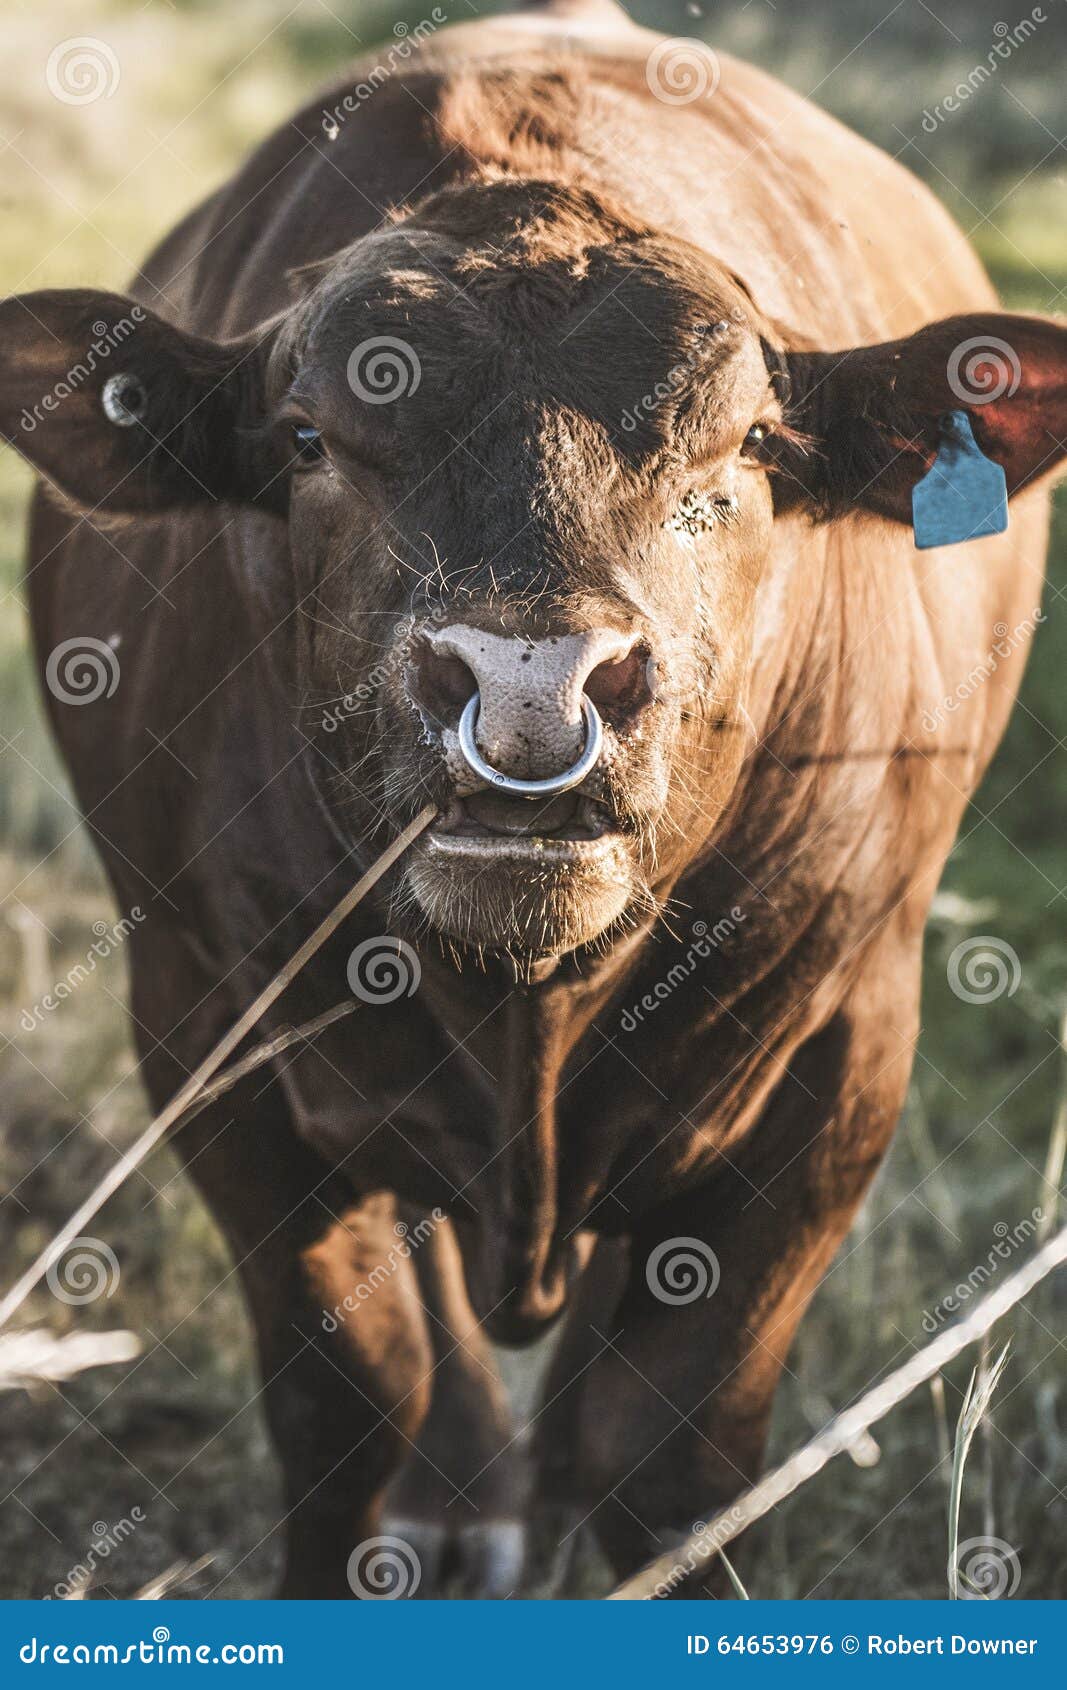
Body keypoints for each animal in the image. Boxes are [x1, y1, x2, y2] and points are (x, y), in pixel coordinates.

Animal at [3, 0, 1065, 1599]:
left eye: (744, 448)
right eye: (309, 439)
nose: (528, 684)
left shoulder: (841, 1054)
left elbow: (668, 1448)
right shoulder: (206, 1036)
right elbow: (345, 1403)